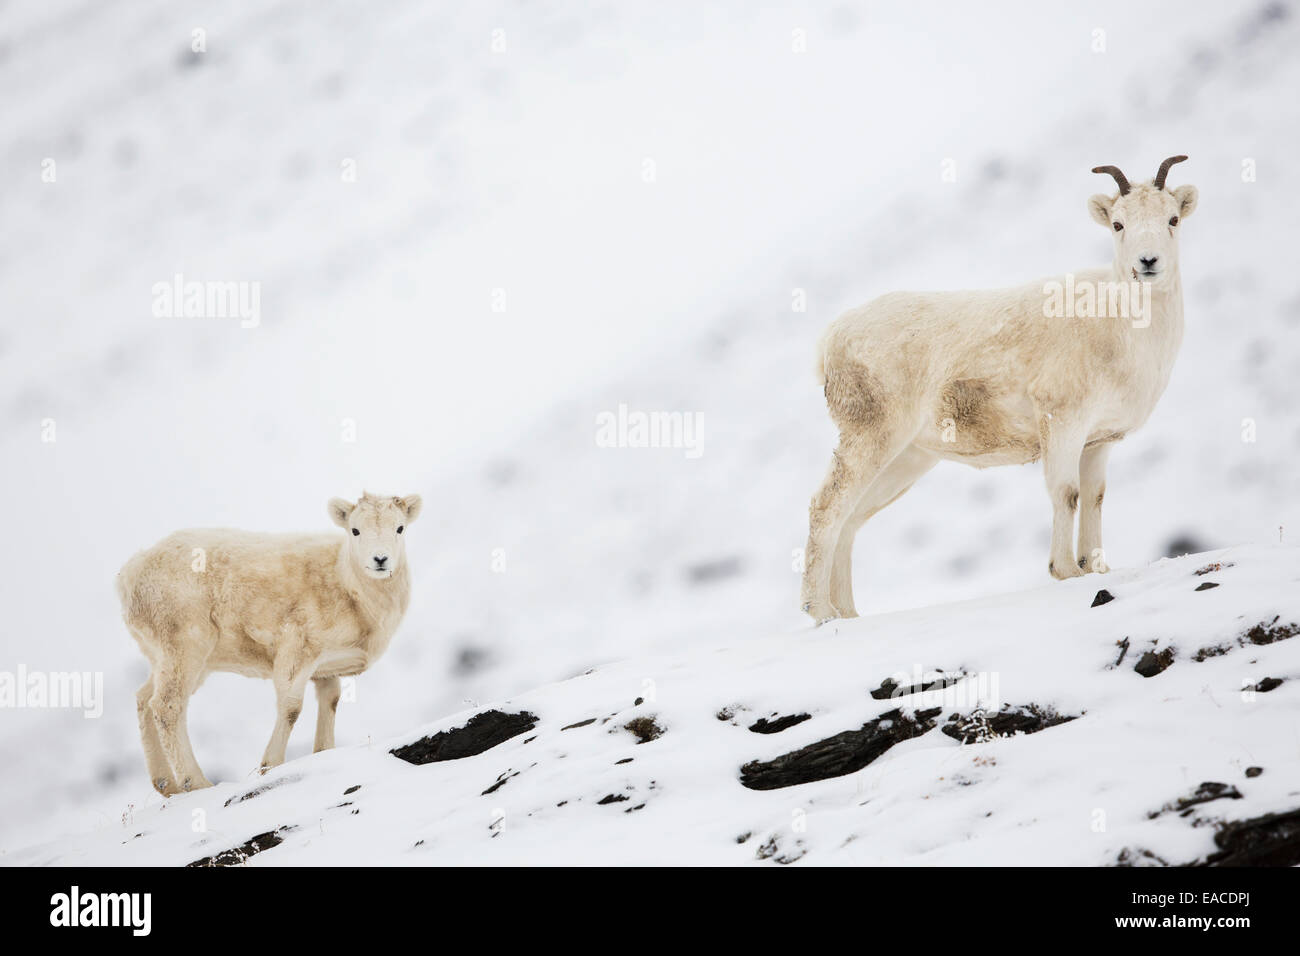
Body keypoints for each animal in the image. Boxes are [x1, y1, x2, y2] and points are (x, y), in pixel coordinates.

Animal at [116, 492, 422, 794]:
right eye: (355, 530)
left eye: (400, 528)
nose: (380, 559)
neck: (348, 586)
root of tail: (130, 575)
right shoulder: (295, 652)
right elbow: (290, 709)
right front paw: (269, 766)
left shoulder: (325, 669)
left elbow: (330, 703)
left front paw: (323, 752)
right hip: (185, 648)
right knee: (167, 707)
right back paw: (198, 784)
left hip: (172, 661)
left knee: (144, 701)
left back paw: (167, 786)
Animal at [801, 156, 1198, 622]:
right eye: (1118, 224)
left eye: (1172, 219)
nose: (1147, 262)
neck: (1124, 328)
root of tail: (831, 338)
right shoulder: (1062, 424)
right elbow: (1066, 493)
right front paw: (1066, 572)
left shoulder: (1098, 441)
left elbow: (1094, 498)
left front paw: (1095, 569)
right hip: (872, 437)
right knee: (827, 509)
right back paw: (821, 612)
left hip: (906, 459)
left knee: (851, 519)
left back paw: (848, 615)